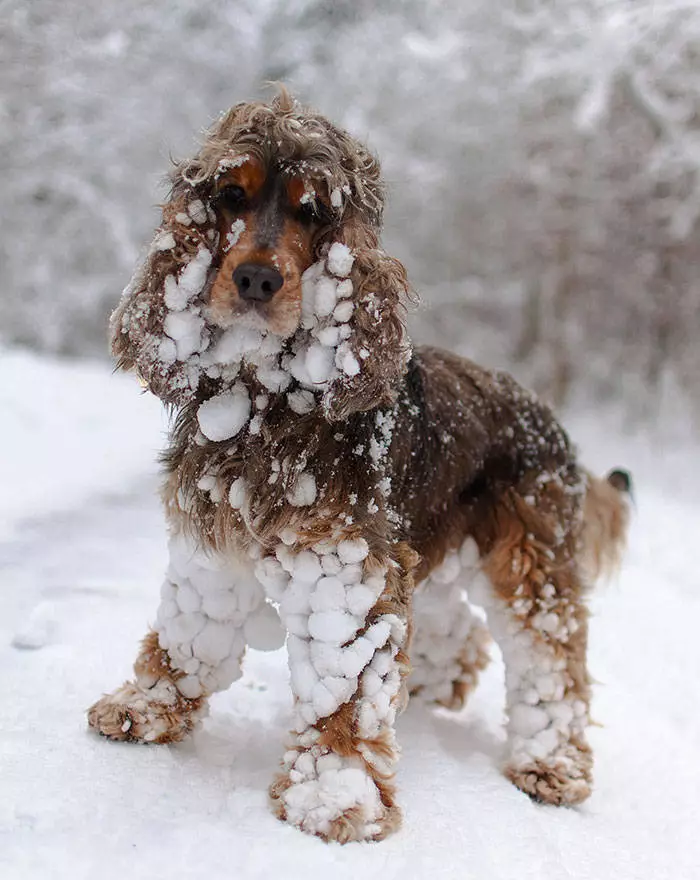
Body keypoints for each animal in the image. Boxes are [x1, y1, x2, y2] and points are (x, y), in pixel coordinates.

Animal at [87, 89, 628, 844]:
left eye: (314, 211)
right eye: (230, 195)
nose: (256, 278)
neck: (266, 399)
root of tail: (552, 423)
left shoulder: (346, 566)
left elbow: (344, 687)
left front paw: (332, 797)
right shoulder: (212, 538)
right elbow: (189, 631)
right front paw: (148, 705)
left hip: (529, 559)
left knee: (553, 662)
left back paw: (551, 765)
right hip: (430, 539)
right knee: (460, 626)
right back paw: (434, 686)